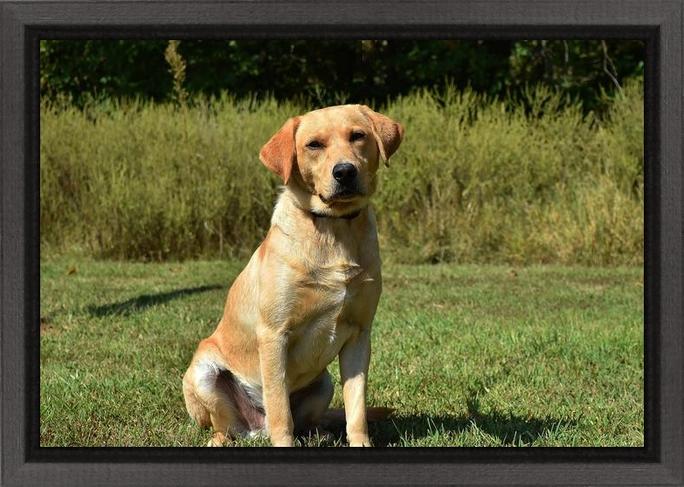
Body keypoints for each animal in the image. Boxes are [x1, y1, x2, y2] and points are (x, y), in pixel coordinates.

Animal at [182, 105, 404, 448]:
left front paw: (360, 442)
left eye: (358, 135)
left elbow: (356, 407)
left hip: (324, 381)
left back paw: (321, 432)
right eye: (314, 145)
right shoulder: (274, 334)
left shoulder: (359, 335)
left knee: (308, 419)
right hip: (203, 374)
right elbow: (279, 408)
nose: (345, 172)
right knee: (228, 426)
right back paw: (221, 439)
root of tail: (255, 428)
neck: (333, 228)